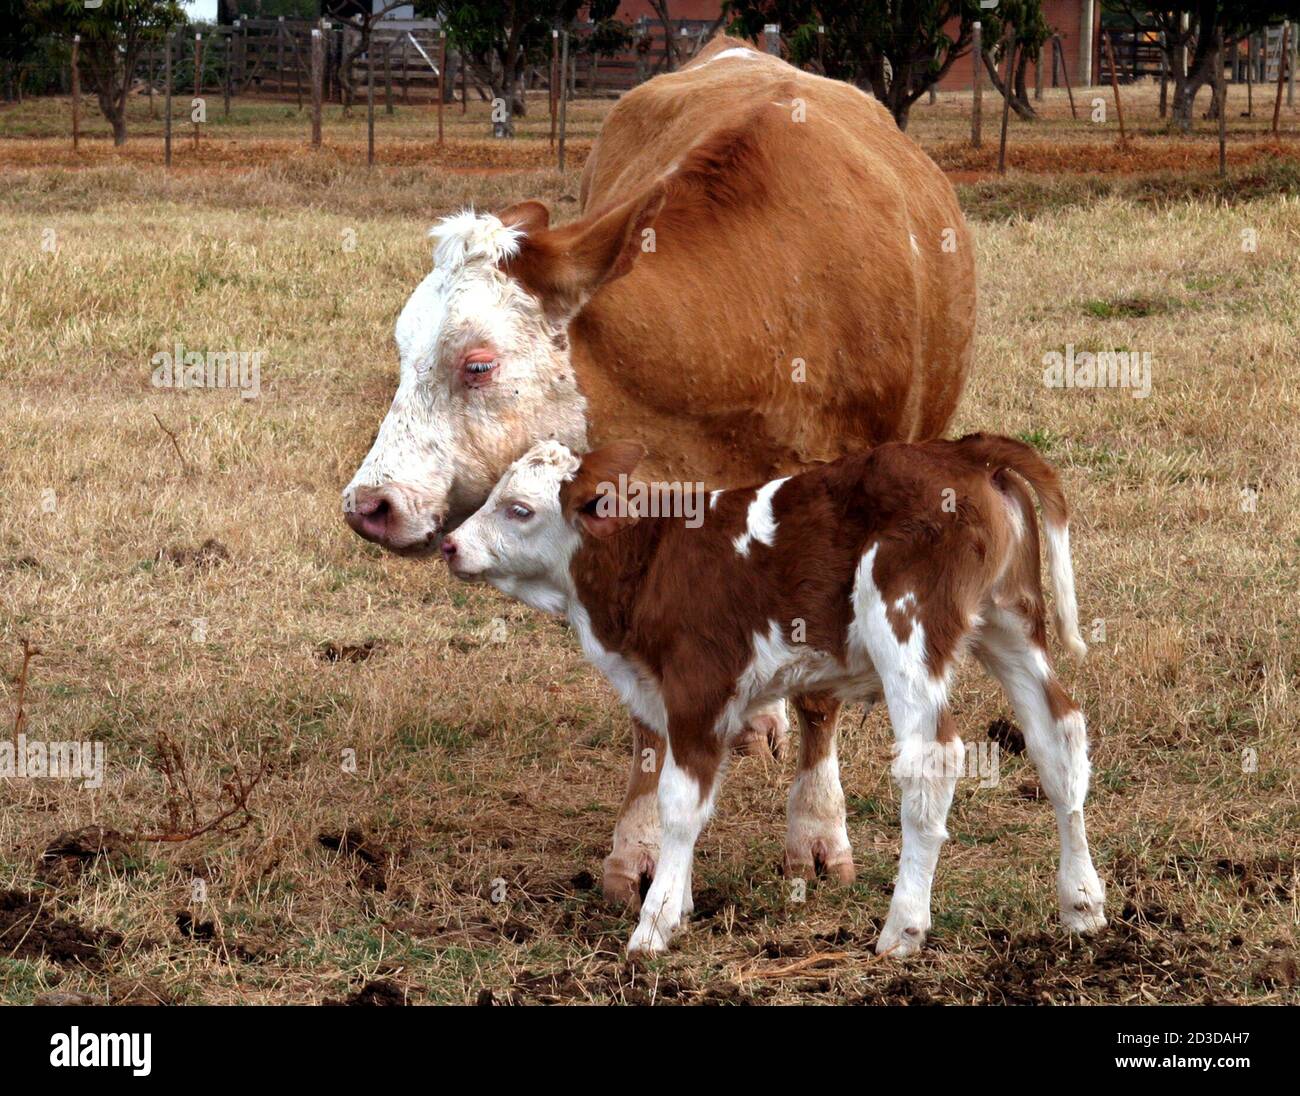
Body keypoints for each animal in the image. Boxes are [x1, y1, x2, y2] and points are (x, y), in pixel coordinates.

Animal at [341, 35, 976, 908]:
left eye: (478, 364)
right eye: (404, 352)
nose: (368, 503)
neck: (758, 317)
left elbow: (820, 698)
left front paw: (816, 830)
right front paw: (640, 845)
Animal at [439, 435, 1106, 955]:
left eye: (520, 510)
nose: (450, 545)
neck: (650, 560)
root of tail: (964, 450)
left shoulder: (698, 687)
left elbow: (678, 804)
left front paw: (654, 927)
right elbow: (693, 801)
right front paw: (680, 905)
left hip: (906, 629)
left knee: (932, 761)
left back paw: (903, 929)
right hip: (1009, 622)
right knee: (1060, 738)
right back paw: (1082, 905)